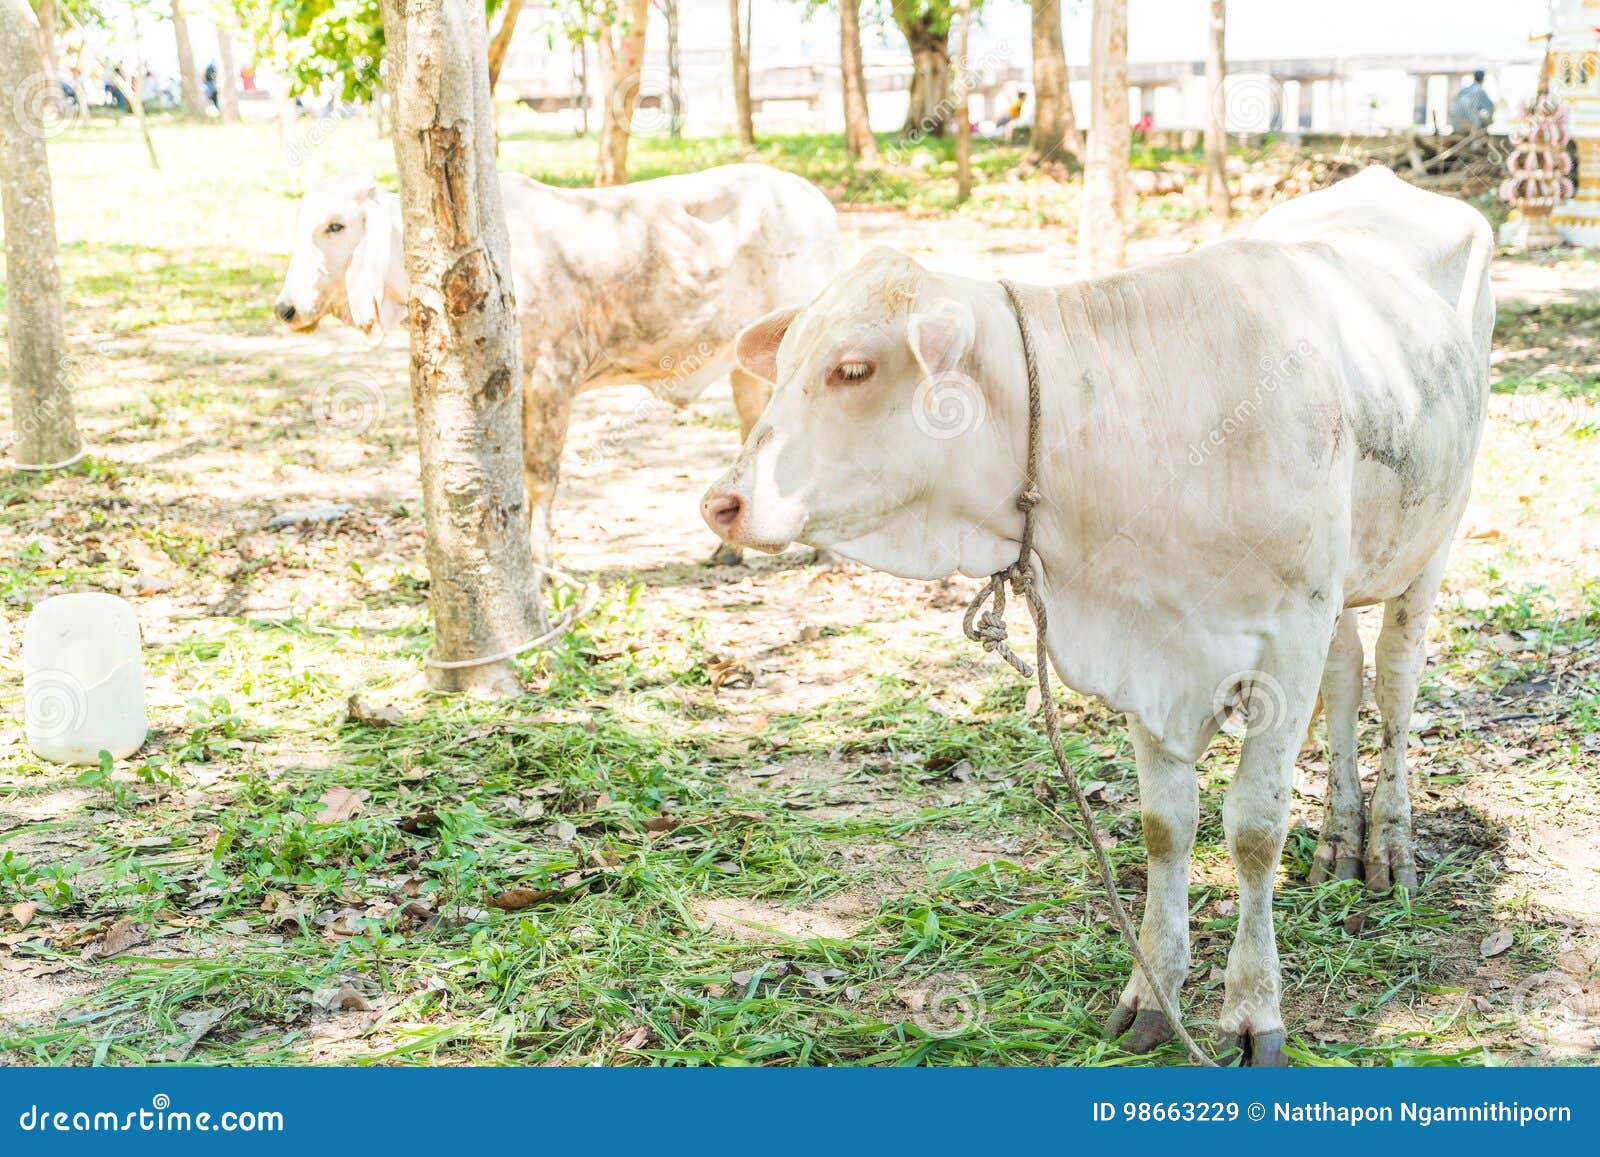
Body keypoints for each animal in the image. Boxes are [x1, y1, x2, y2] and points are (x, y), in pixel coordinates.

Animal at [273, 164, 841, 567]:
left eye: (335, 226)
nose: (287, 308)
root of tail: (813, 200)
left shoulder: (551, 381)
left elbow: (542, 476)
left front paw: (541, 563)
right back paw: (730, 550)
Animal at [700, 170, 1492, 1064]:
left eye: (854, 368)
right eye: (787, 358)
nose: (723, 502)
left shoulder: (1287, 640)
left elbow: (1253, 829)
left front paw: (1253, 1009)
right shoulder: (1151, 648)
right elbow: (1165, 826)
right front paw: (1153, 993)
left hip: (1430, 547)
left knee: (1392, 686)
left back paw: (1388, 843)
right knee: (1348, 676)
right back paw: (1339, 838)